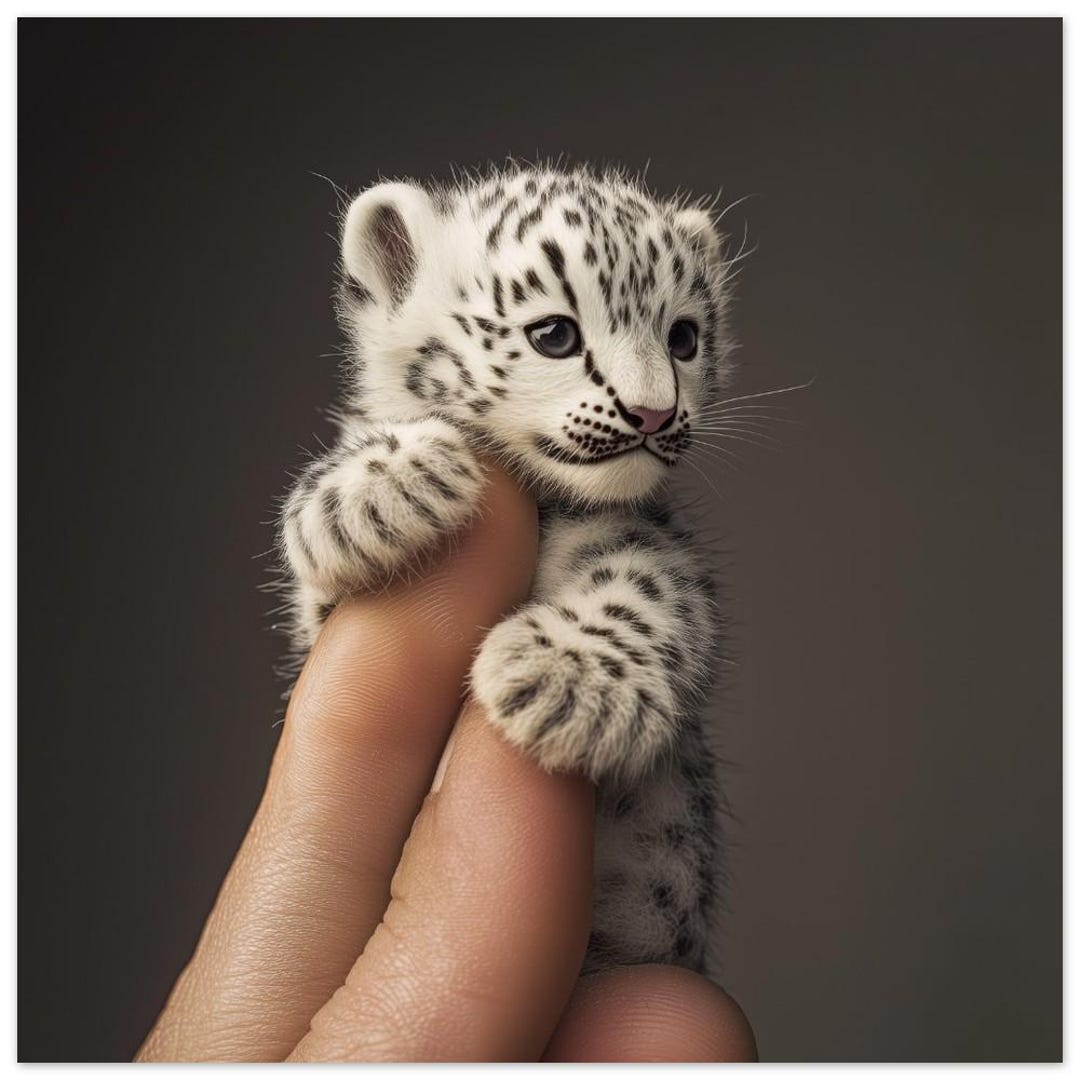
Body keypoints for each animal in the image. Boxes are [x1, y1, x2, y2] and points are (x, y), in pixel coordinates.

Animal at [277, 163, 741, 976]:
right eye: (553, 333)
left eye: (683, 337)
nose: (654, 413)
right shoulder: (315, 635)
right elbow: (316, 578)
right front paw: (388, 479)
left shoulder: (651, 539)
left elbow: (649, 588)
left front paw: (567, 682)